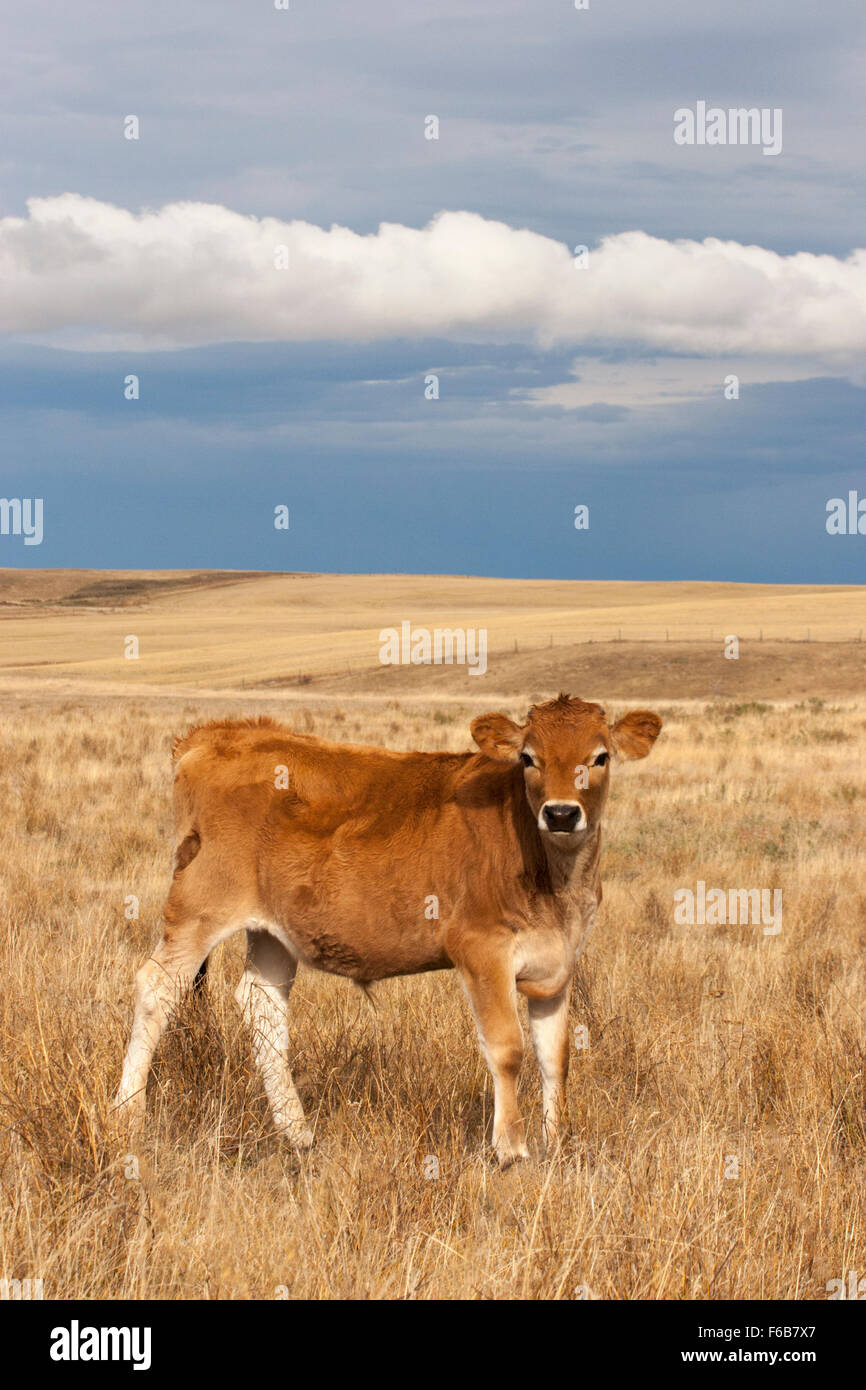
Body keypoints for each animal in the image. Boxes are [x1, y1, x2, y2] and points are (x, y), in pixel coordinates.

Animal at [114, 694, 661, 1166]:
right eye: (529, 758)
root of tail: (218, 734)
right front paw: (511, 1148)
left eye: (600, 757)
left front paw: (558, 1142)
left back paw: (298, 1133)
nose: (562, 813)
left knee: (262, 1004)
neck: (553, 880)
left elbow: (555, 1055)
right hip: (199, 907)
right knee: (156, 989)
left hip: (272, 931)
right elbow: (507, 1048)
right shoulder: (481, 950)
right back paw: (127, 1117)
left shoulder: (559, 962)